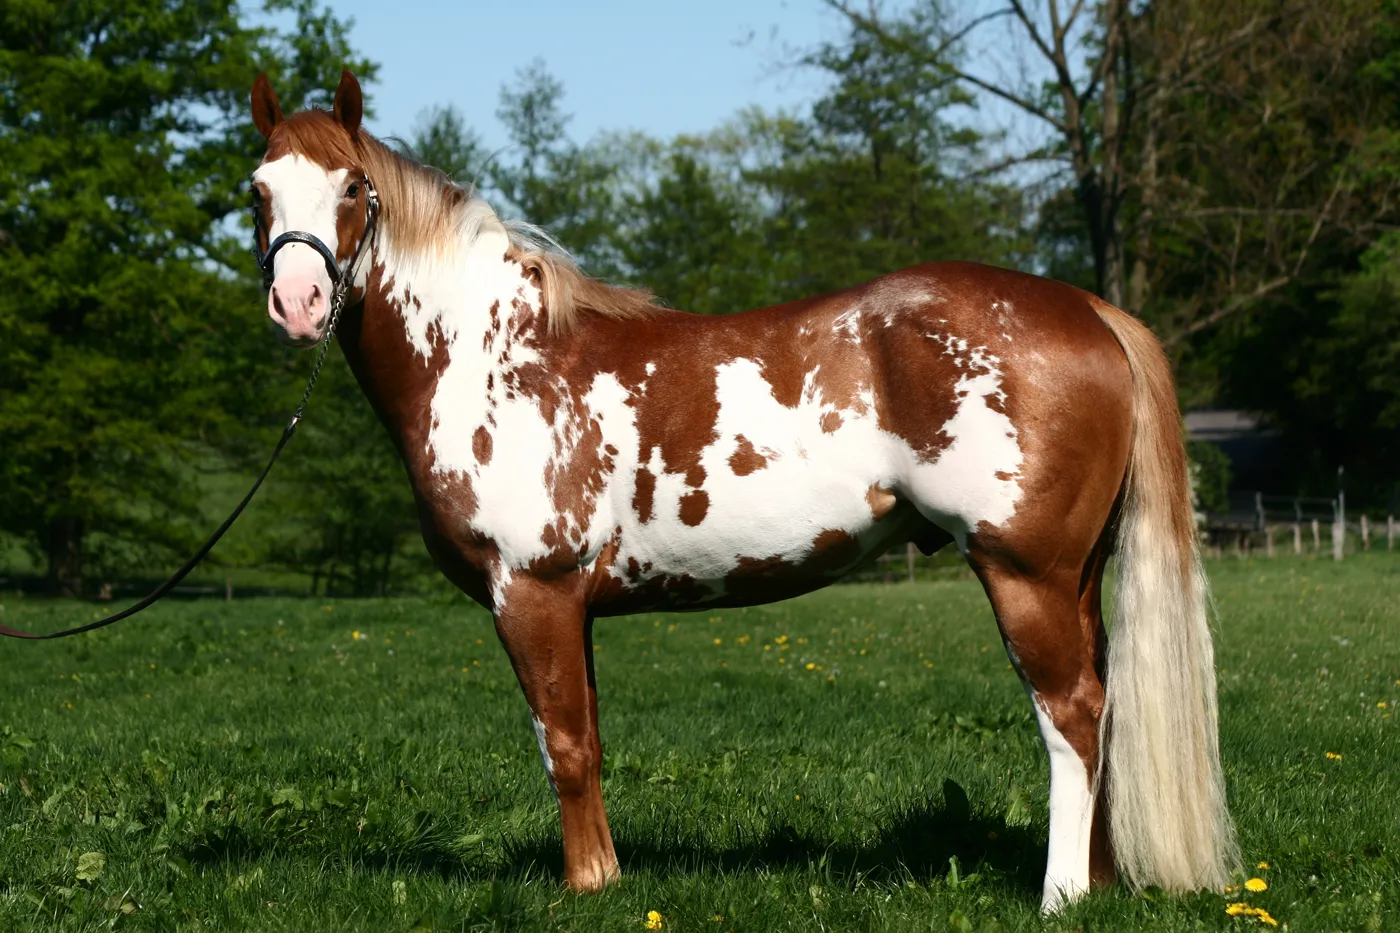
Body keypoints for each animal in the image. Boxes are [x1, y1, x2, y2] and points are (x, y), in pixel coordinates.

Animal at [247, 70, 1236, 912]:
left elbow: (562, 744)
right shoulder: (574, 604)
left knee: (1072, 714)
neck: (496, 358)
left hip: (1024, 571)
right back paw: (1098, 884)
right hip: (1075, 575)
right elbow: (590, 738)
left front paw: (585, 888)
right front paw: (608, 876)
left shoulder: (531, 590)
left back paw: (1061, 895)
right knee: (1103, 707)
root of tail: (1088, 310)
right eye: (258, 191)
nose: (296, 303)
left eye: (351, 187)